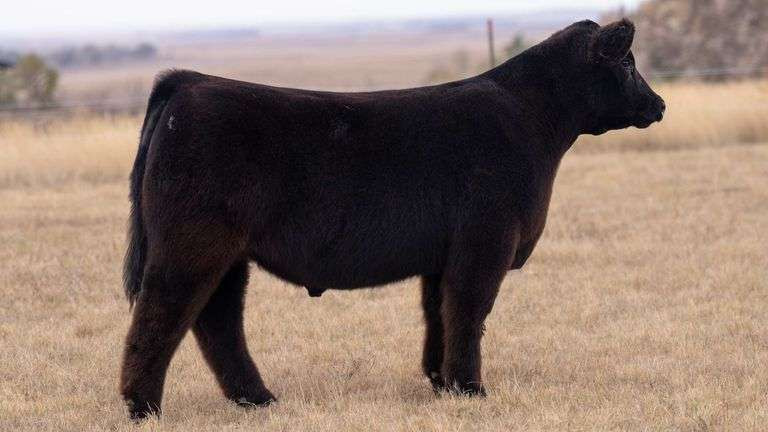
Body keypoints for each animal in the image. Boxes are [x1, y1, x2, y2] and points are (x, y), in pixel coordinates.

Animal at [119, 18, 665, 419]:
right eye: (629, 63)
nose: (659, 104)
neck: (532, 120)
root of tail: (189, 82)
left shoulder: (445, 255)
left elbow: (439, 313)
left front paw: (442, 383)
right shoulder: (486, 241)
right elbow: (469, 312)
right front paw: (471, 389)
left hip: (228, 254)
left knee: (217, 320)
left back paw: (257, 399)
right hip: (191, 245)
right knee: (162, 313)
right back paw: (142, 408)